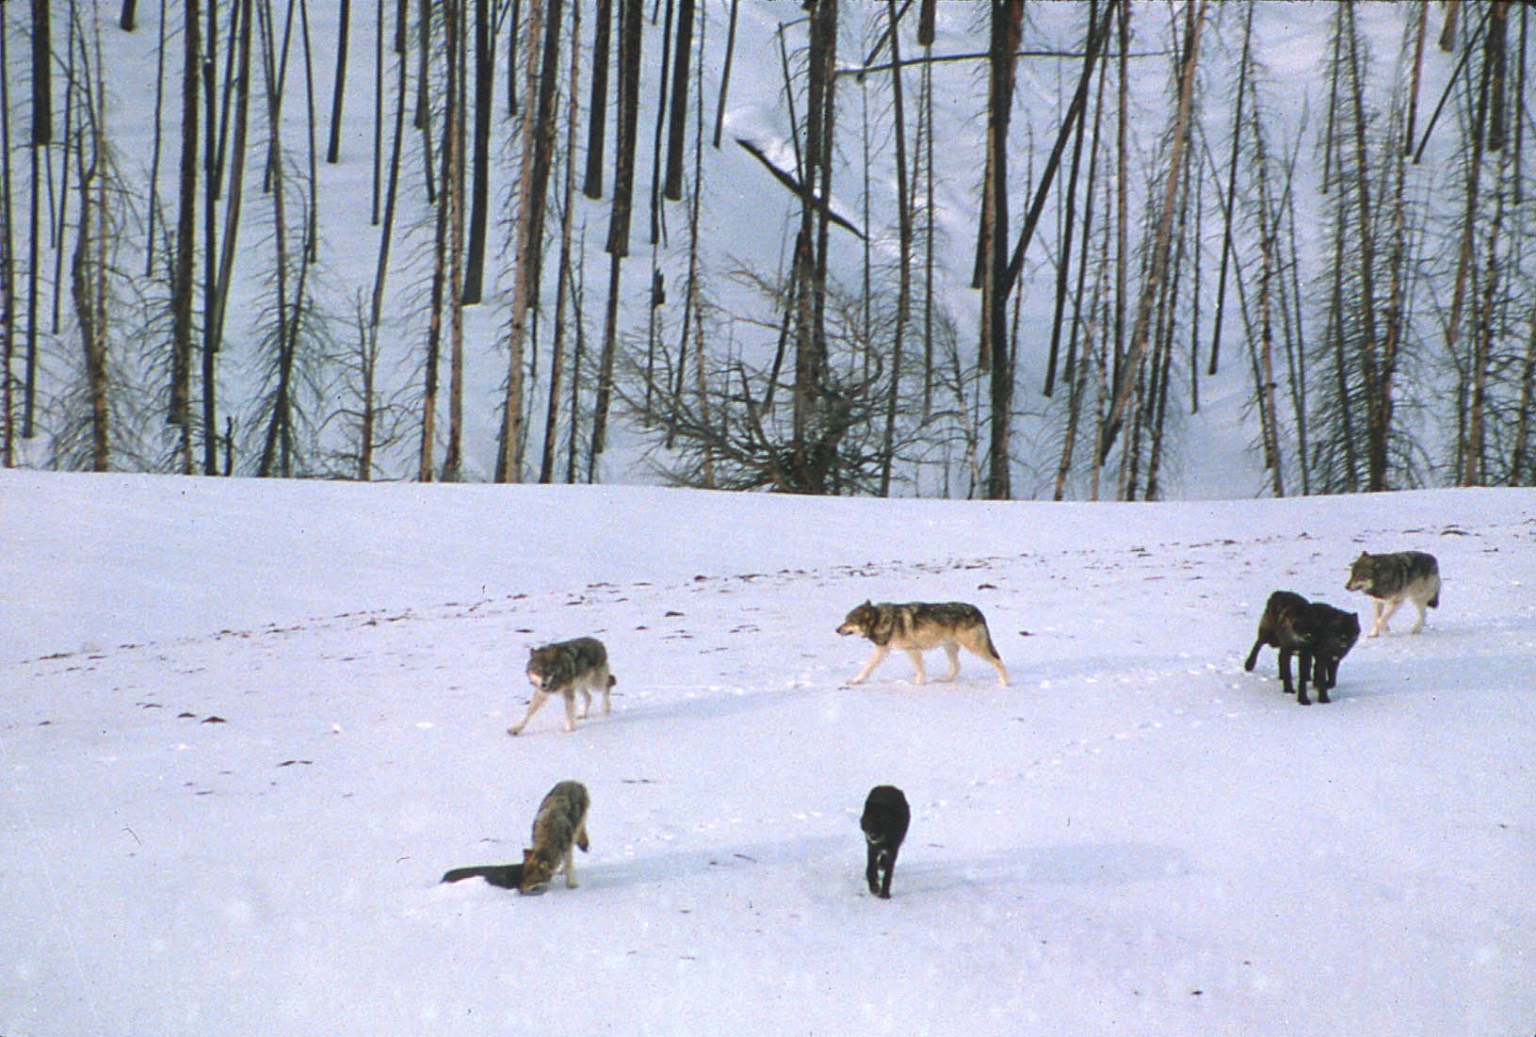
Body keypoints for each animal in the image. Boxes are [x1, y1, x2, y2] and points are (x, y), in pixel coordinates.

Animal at [836, 601, 1009, 687]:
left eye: (849, 621)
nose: (837, 630)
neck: (881, 619)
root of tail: (978, 611)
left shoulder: (912, 650)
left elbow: (919, 670)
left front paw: (917, 686)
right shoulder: (882, 650)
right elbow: (867, 668)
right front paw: (856, 681)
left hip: (974, 647)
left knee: (998, 661)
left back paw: (1004, 683)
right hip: (949, 647)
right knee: (956, 667)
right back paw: (942, 680)